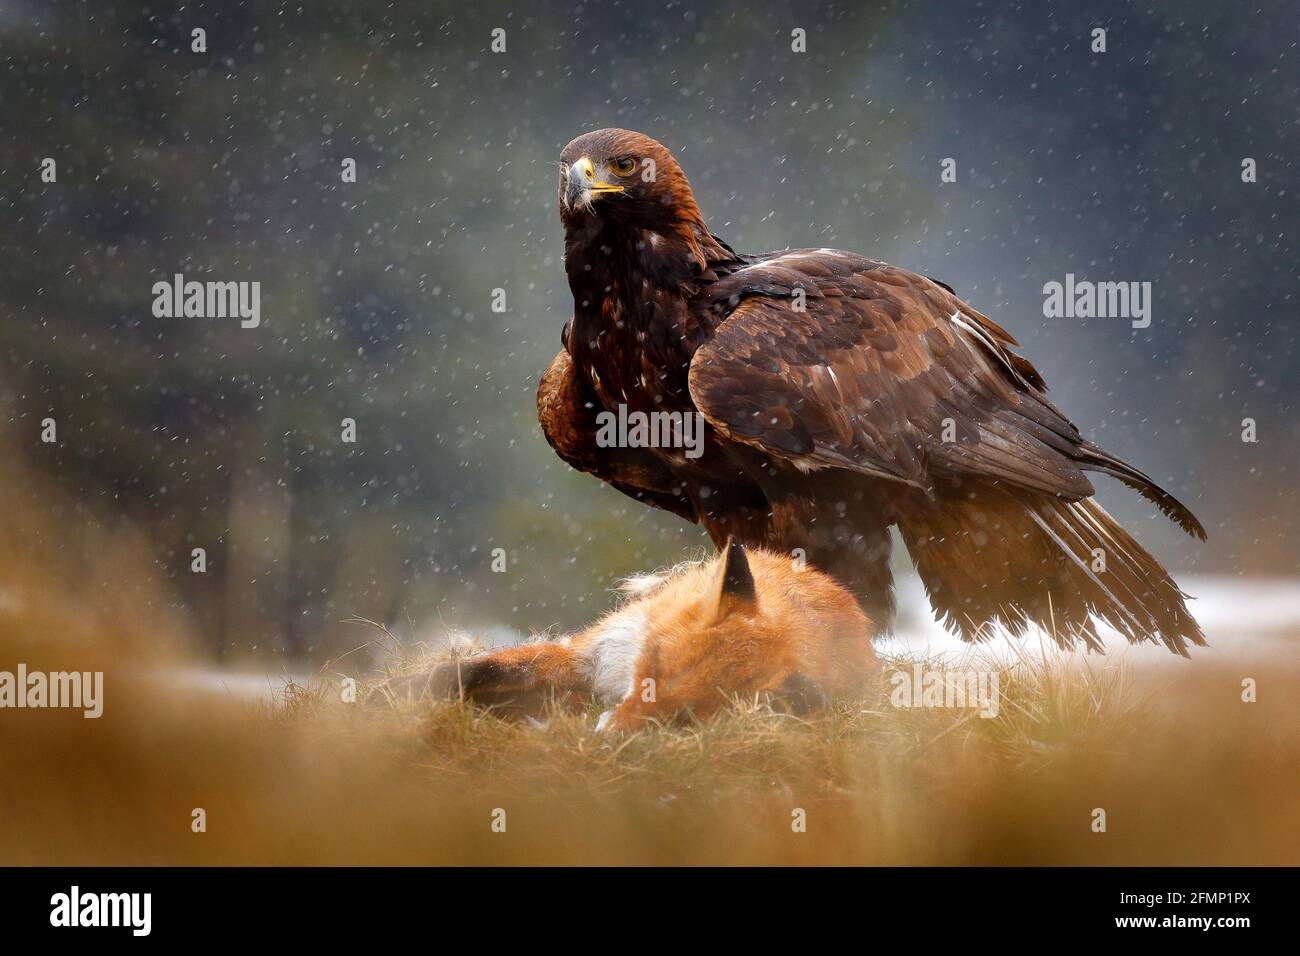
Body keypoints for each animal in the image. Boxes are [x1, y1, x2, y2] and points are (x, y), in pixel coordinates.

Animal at [405, 541, 877, 731]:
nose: (605, 736)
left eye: (683, 717)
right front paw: (395, 694)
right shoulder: (592, 655)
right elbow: (470, 671)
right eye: (652, 668)